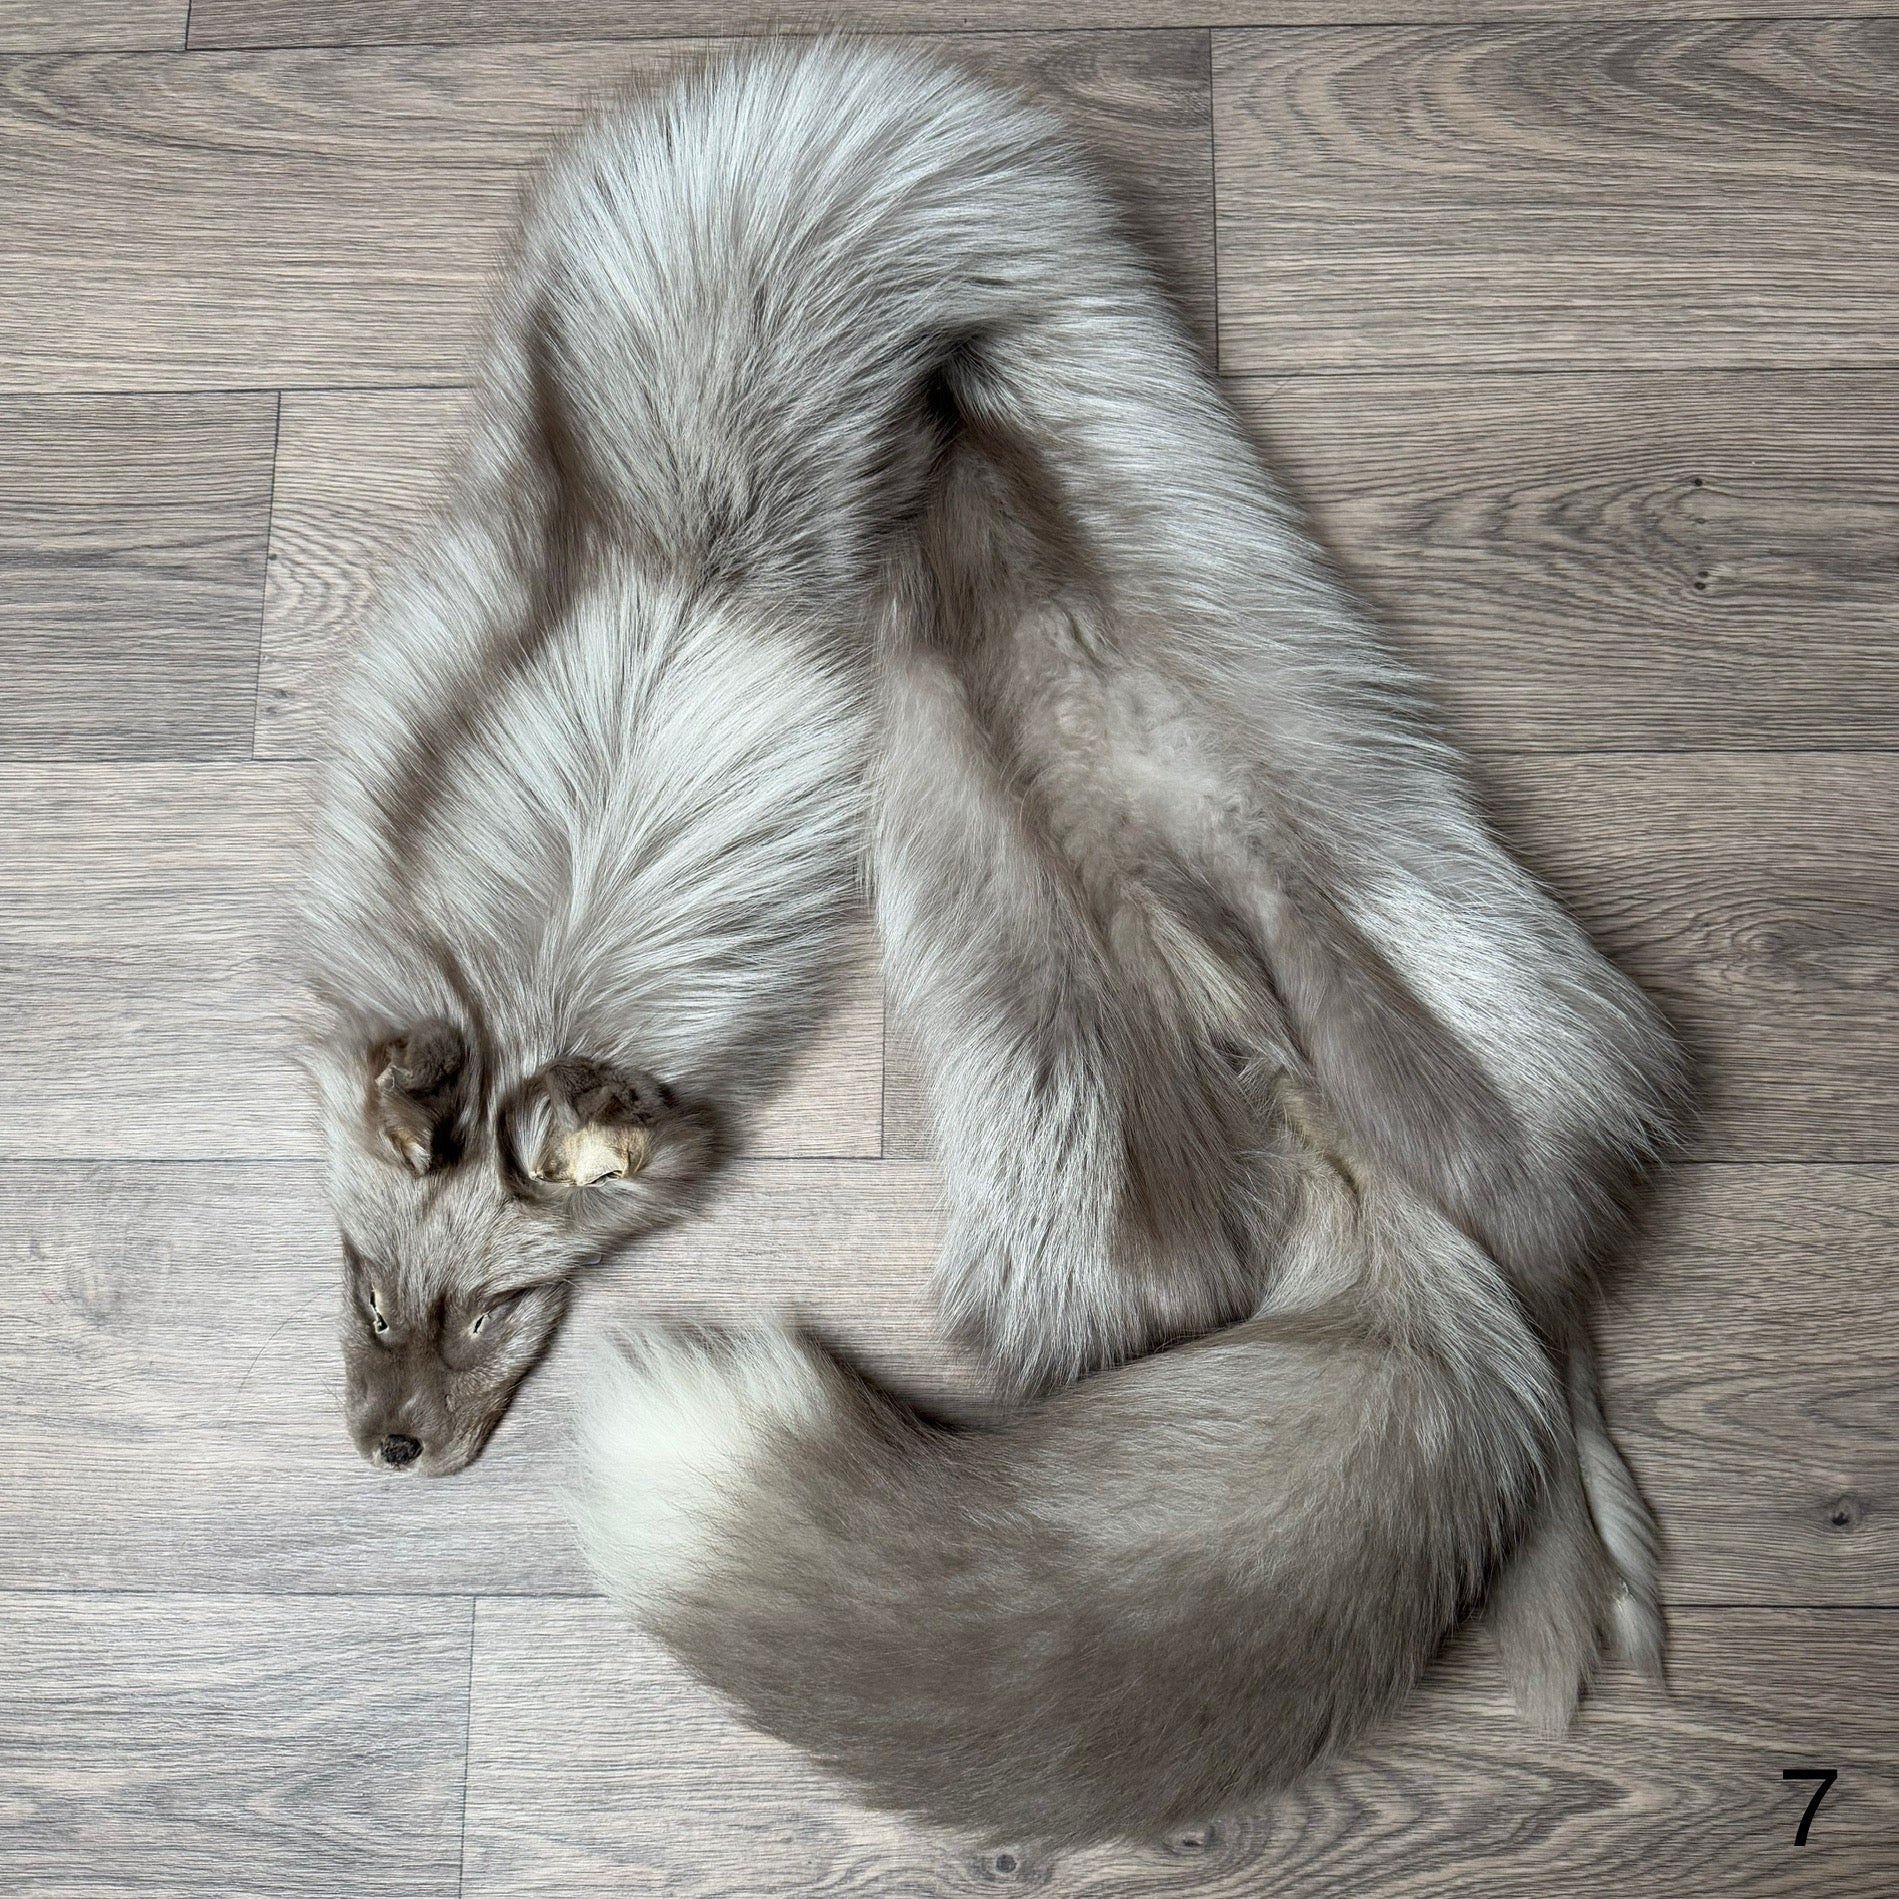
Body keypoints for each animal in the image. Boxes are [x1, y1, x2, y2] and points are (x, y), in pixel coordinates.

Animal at [556, 42, 1682, 1848]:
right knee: (1568, 1345)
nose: (949, 397)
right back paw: (1597, 1571)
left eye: (939, 421)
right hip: (1501, 1073)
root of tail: (1336, 1149)